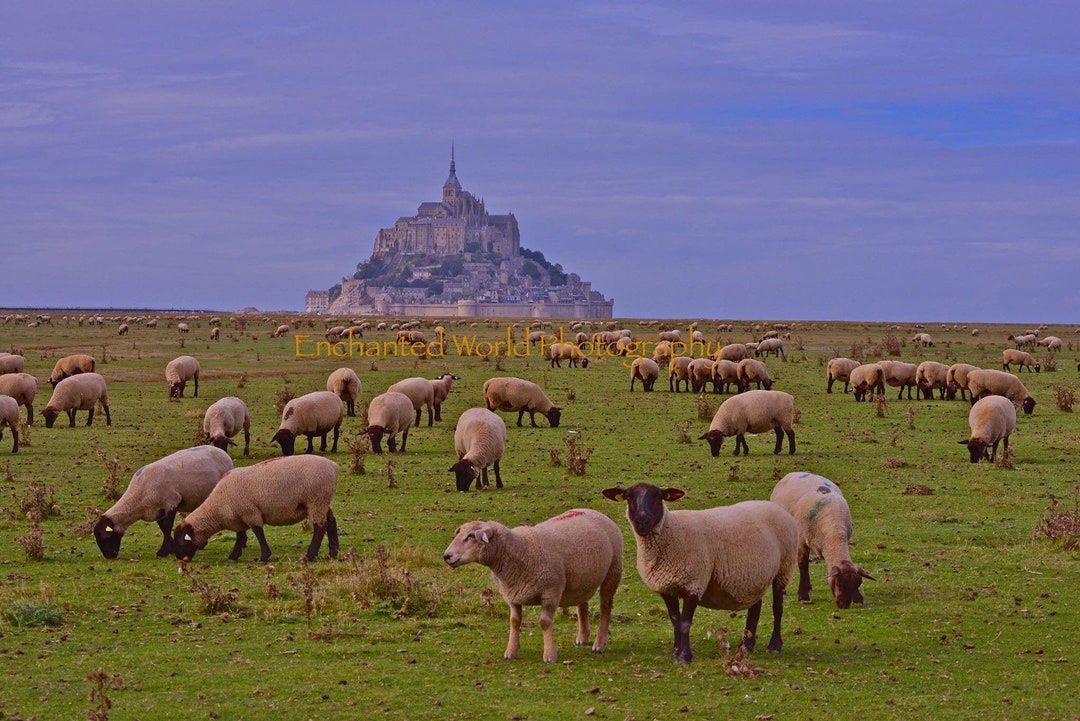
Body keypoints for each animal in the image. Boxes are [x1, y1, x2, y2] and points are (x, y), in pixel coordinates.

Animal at [93, 446, 234, 559]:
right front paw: (170, 548)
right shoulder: (157, 510)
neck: (137, 499)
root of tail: (223, 452)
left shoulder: (170, 502)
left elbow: (166, 528)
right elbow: (163, 528)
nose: (109, 556)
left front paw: (164, 551)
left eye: (105, 536)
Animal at [172, 455, 339, 563]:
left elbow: (258, 532)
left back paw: (310, 556)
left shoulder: (250, 512)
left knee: (320, 527)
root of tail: (333, 466)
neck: (216, 509)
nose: (180, 560)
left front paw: (264, 556)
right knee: (331, 522)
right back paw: (333, 553)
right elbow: (240, 535)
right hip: (323, 501)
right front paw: (234, 555)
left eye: (181, 542)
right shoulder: (239, 516)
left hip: (316, 500)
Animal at [443, 508, 622, 663]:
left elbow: (545, 623)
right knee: (582, 605)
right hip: (582, 580)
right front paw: (511, 651)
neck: (520, 549)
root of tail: (594, 511)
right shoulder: (512, 595)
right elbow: (514, 622)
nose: (446, 556)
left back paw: (599, 644)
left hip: (613, 571)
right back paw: (583, 637)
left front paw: (549, 655)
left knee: (606, 607)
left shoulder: (551, 592)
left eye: (471, 536)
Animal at [601, 483, 796, 662]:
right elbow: (675, 620)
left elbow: (685, 623)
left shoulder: (694, 583)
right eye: (628, 497)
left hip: (784, 567)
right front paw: (675, 652)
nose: (642, 521)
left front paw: (684, 656)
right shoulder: (666, 587)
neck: (672, 532)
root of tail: (775, 506)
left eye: (658, 497)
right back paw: (746, 646)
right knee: (755, 606)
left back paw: (774, 646)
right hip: (753, 576)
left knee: (777, 607)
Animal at [769, 472, 875, 608]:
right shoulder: (801, 541)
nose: (843, 606)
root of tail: (792, 473)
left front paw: (858, 598)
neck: (833, 529)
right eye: (839, 583)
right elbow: (803, 565)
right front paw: (803, 595)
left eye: (857, 584)